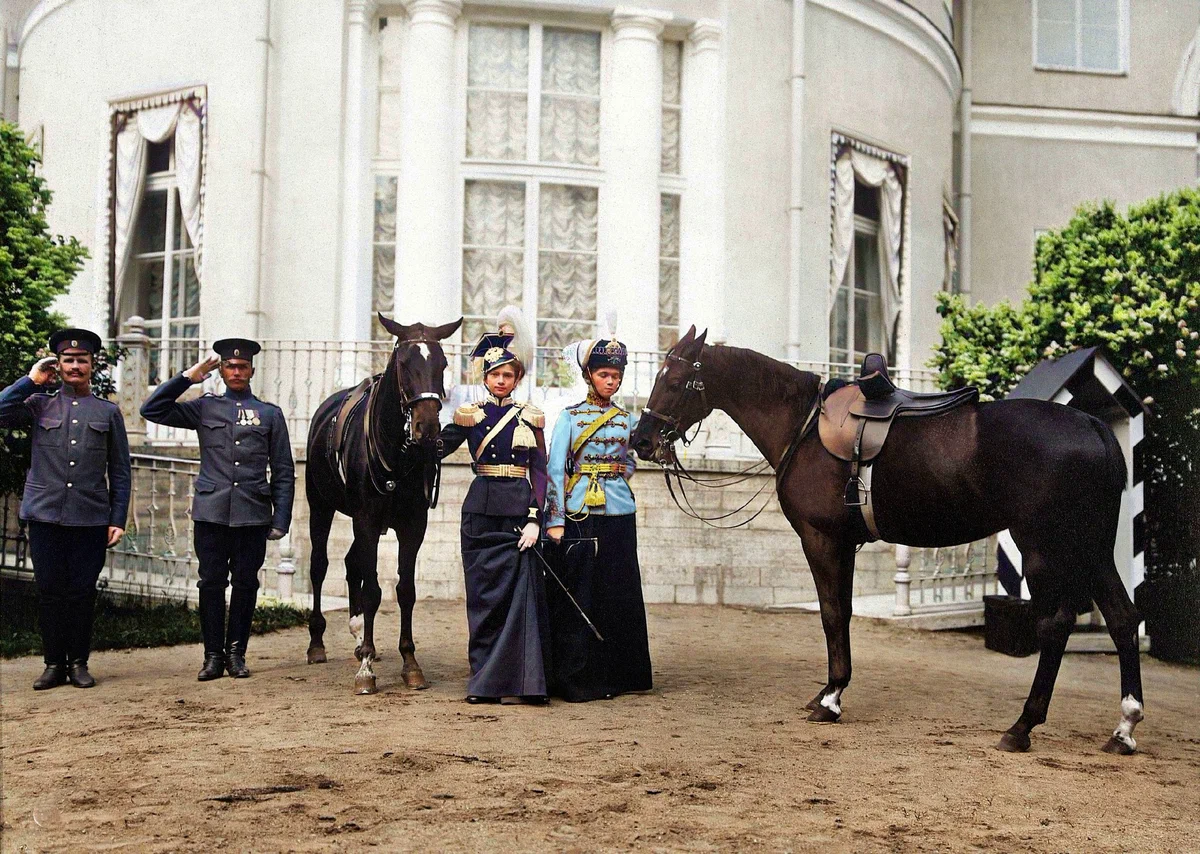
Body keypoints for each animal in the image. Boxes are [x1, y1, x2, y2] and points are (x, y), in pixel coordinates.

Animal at [304, 314, 463, 695]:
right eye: (404, 364)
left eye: (442, 364)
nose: (427, 427)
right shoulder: (366, 519)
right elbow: (373, 590)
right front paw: (366, 670)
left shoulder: (412, 525)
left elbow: (405, 590)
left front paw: (410, 663)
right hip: (320, 505)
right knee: (319, 565)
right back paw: (318, 643)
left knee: (351, 564)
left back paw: (359, 637)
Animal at [628, 326, 1142, 753]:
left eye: (675, 380)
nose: (641, 440)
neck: (804, 426)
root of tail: (1092, 425)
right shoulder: (844, 543)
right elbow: (843, 613)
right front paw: (831, 690)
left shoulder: (820, 539)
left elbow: (832, 614)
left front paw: (831, 699)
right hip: (1093, 549)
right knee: (1122, 618)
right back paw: (1124, 728)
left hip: (1044, 549)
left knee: (1054, 625)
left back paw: (1022, 726)